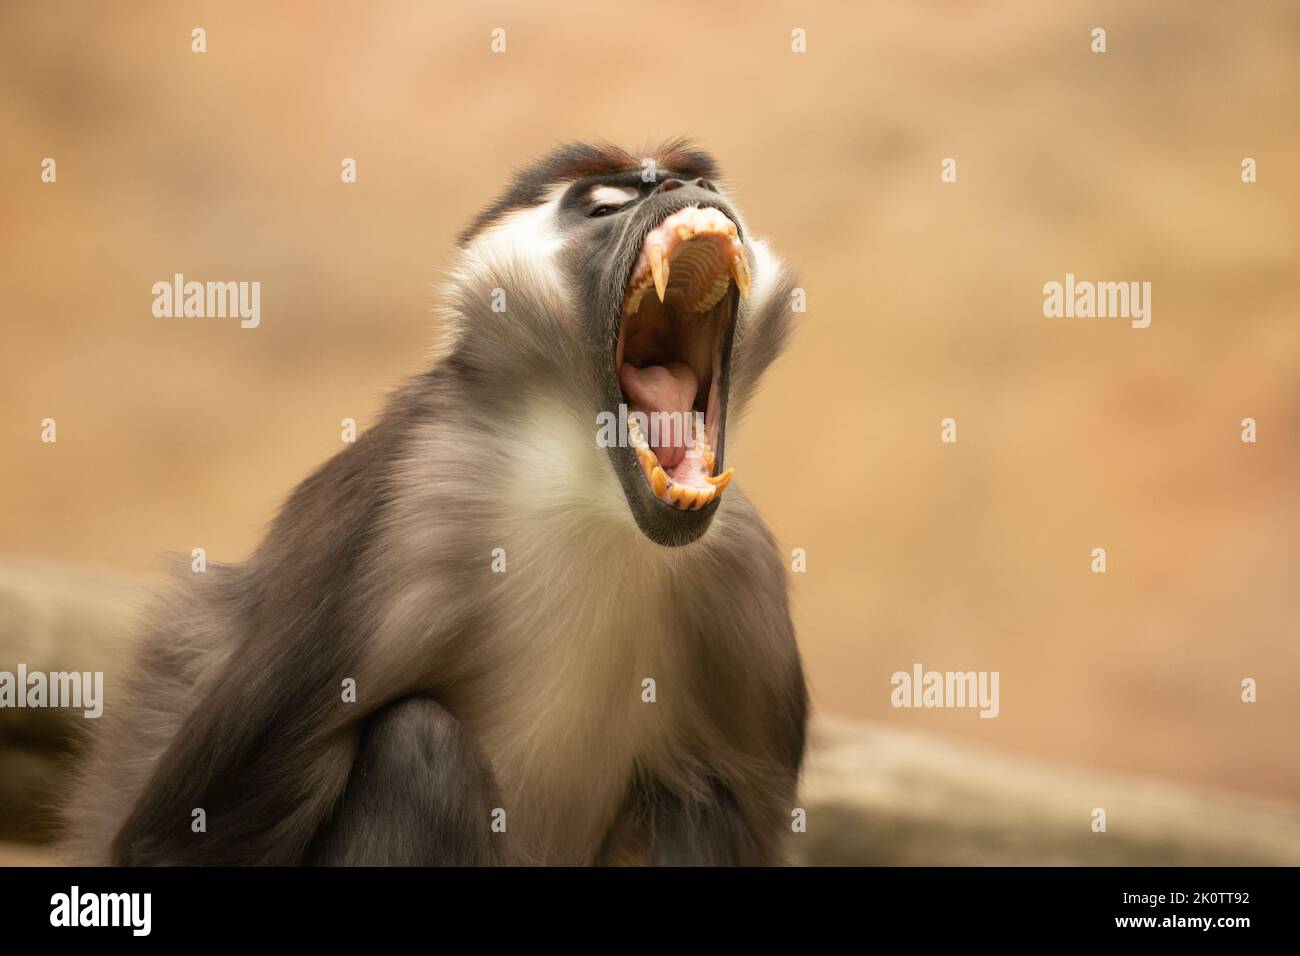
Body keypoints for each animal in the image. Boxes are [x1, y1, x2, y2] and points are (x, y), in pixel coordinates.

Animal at [61, 140, 807, 866]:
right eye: (604, 206)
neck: (590, 498)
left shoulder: (744, 574)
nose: (685, 191)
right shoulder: (398, 512)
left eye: (697, 181)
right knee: (419, 746)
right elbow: (174, 840)